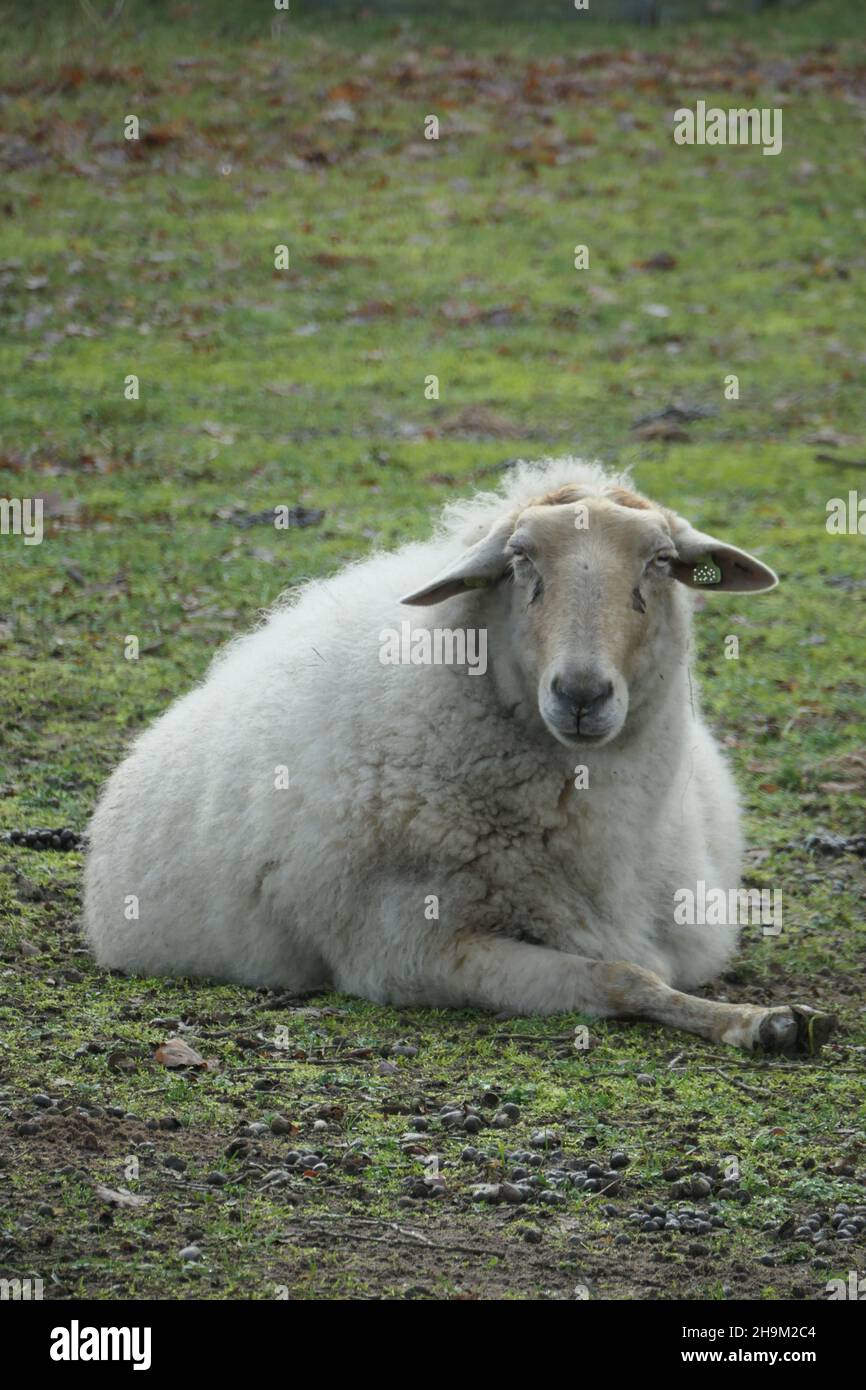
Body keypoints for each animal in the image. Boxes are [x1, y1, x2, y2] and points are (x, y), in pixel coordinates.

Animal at [84, 457, 835, 1053]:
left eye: (659, 561)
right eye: (520, 559)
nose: (581, 693)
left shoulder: (682, 933)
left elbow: (651, 970)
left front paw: (761, 1018)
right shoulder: (407, 950)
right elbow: (622, 977)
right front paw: (759, 1021)